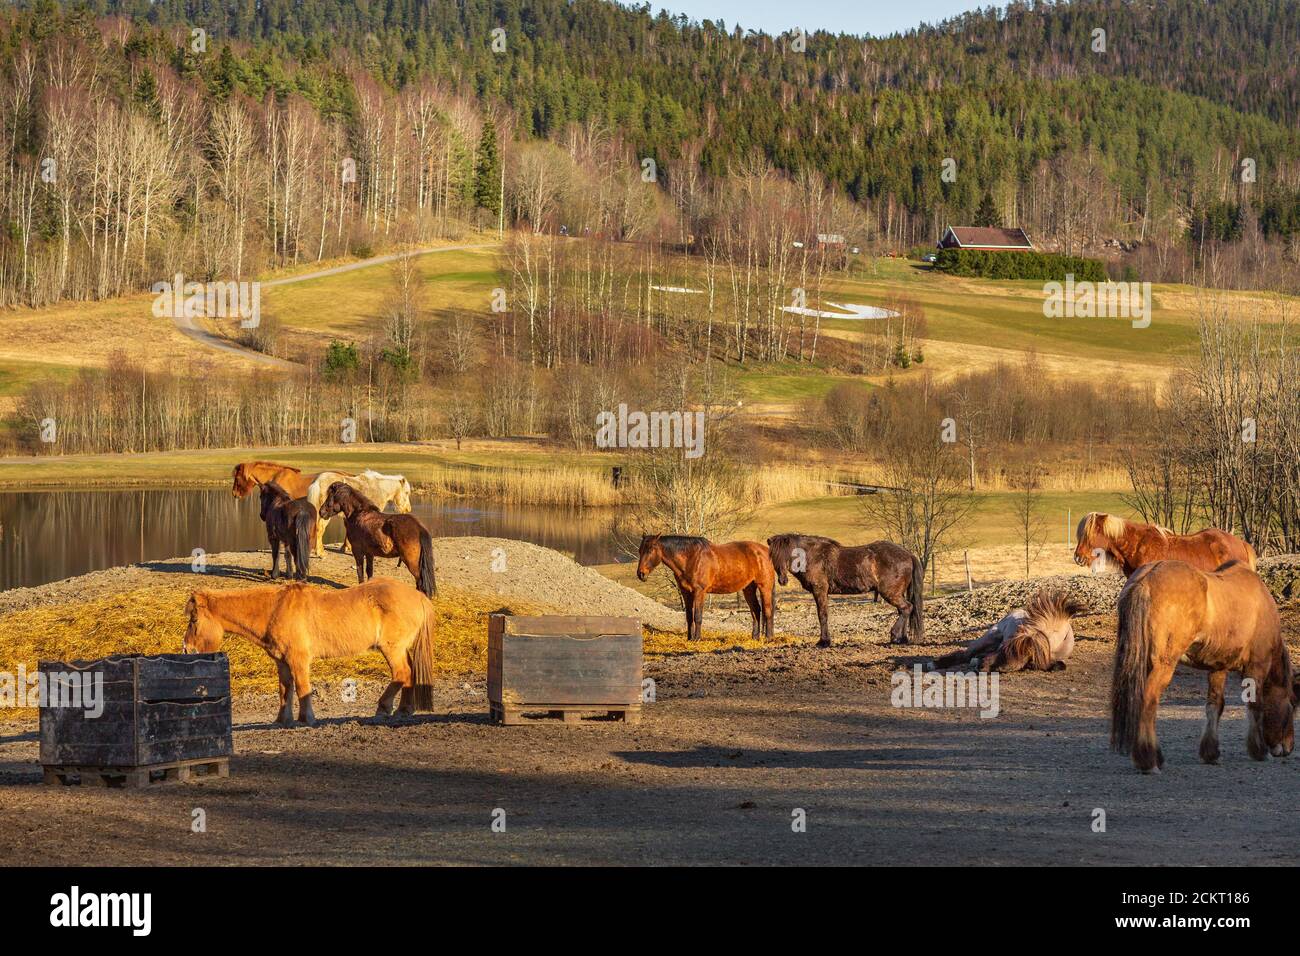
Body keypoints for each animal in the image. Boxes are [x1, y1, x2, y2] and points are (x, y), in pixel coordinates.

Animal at [183, 579, 439, 726]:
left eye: (194, 620)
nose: (187, 649)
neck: (274, 609)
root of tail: (419, 596)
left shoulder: (299, 660)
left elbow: (302, 688)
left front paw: (307, 718)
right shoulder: (282, 663)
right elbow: (285, 690)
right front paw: (282, 720)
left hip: (392, 649)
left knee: (402, 674)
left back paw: (384, 707)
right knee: (409, 674)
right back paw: (404, 710)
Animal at [636, 534, 775, 642]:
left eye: (650, 550)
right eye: (640, 550)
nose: (640, 574)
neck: (691, 558)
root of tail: (765, 550)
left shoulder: (699, 591)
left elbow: (697, 616)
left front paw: (697, 638)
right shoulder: (686, 592)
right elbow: (689, 616)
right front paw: (690, 638)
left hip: (765, 587)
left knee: (767, 611)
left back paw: (768, 638)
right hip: (748, 588)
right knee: (756, 610)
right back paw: (755, 637)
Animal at [766, 534, 923, 645]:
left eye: (788, 554)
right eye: (773, 557)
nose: (782, 580)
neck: (813, 556)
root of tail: (908, 554)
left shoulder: (820, 591)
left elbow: (822, 615)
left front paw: (824, 641)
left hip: (890, 593)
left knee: (907, 608)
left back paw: (895, 635)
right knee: (904, 610)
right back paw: (902, 639)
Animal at [1110, 559, 1296, 773]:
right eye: (1292, 705)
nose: (1288, 748)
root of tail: (1146, 579)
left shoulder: (1218, 667)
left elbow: (1215, 705)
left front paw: (1211, 753)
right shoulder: (1257, 665)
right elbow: (1255, 704)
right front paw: (1260, 752)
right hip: (1164, 665)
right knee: (1148, 701)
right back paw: (1148, 760)